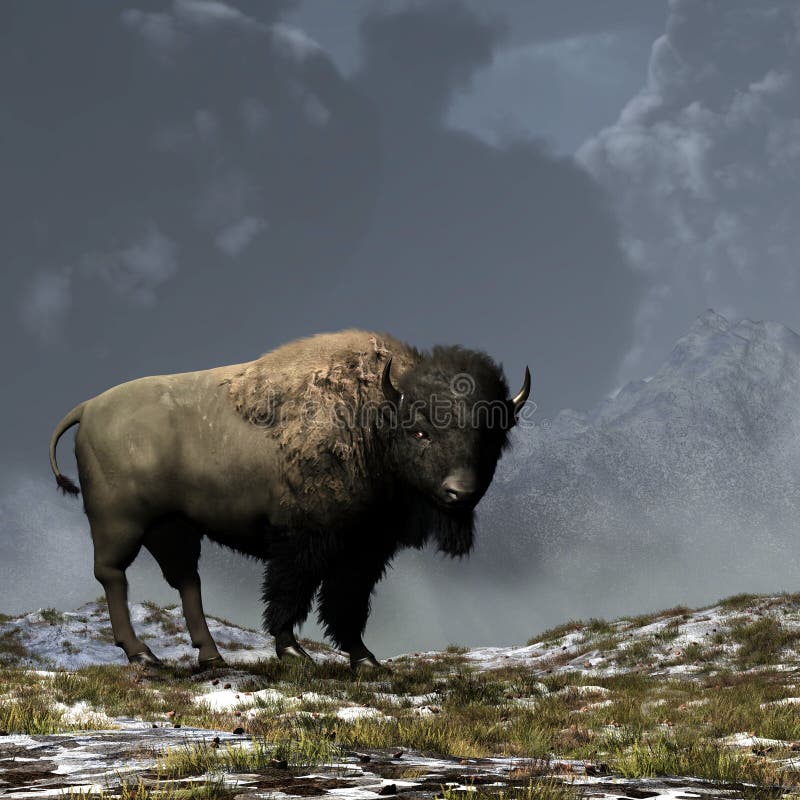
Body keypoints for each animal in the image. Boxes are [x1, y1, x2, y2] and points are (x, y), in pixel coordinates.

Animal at [49, 330, 530, 669]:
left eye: (489, 435)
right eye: (420, 431)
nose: (459, 492)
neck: (373, 419)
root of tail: (88, 407)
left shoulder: (366, 548)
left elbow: (347, 603)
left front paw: (366, 661)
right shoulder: (306, 538)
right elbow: (292, 592)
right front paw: (295, 652)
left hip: (172, 529)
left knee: (186, 580)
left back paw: (211, 657)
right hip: (121, 525)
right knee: (113, 576)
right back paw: (143, 655)